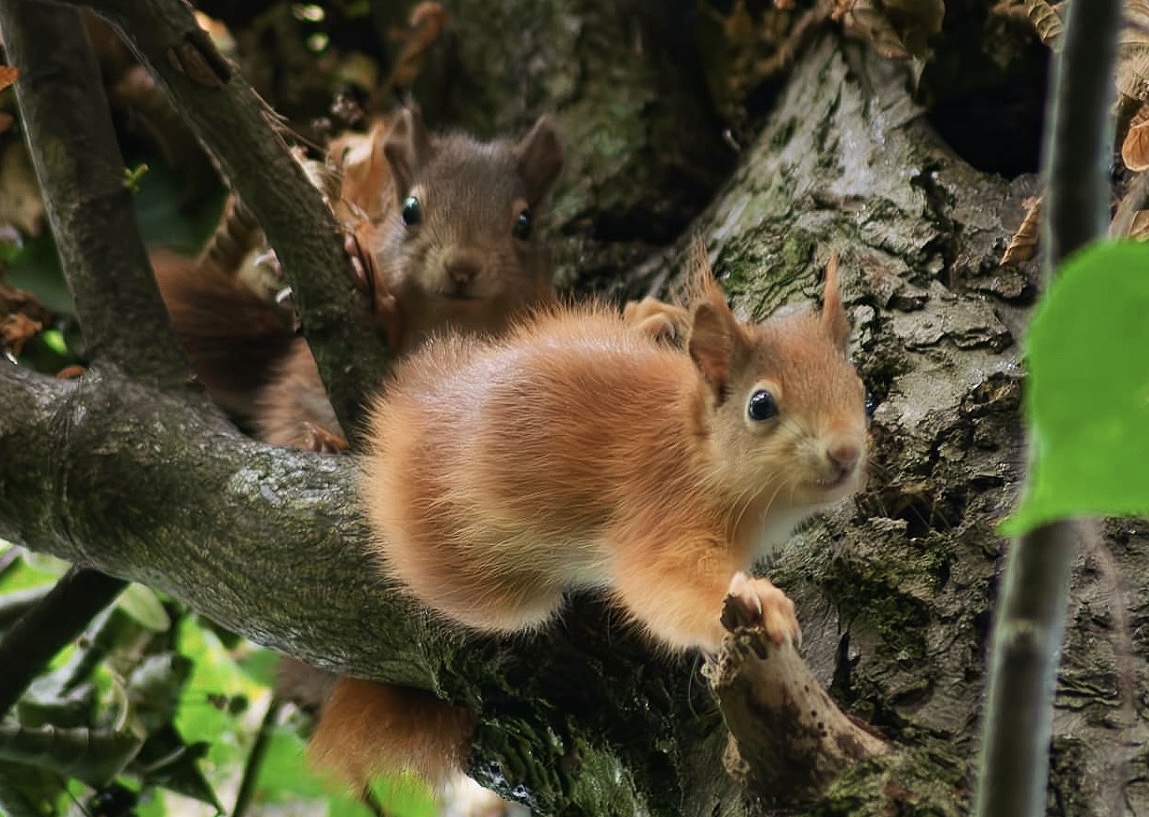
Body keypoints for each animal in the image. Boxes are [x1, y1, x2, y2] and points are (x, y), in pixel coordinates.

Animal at [309, 248, 870, 788]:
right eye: (760, 405)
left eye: (861, 390)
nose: (845, 454)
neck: (693, 441)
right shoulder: (662, 509)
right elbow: (667, 583)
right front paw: (763, 602)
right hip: (480, 579)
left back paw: (647, 319)